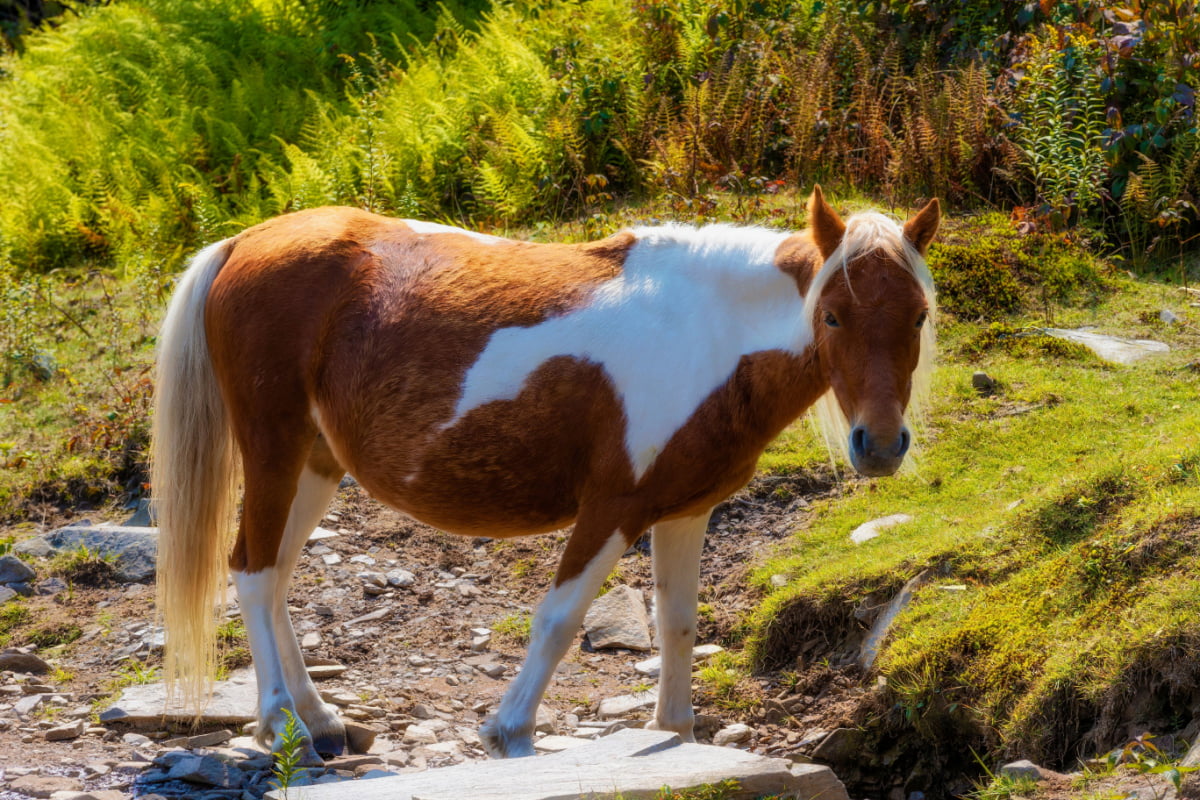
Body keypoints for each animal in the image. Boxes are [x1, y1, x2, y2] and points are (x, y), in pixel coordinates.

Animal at [151, 186, 939, 765]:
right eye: (832, 316)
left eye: (919, 315)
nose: (880, 445)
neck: (708, 334)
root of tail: (243, 243)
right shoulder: (613, 506)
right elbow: (560, 618)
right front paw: (510, 731)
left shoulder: (687, 511)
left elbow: (678, 623)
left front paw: (676, 734)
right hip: (275, 452)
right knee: (254, 574)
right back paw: (282, 722)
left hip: (317, 463)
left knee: (276, 574)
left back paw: (319, 720)